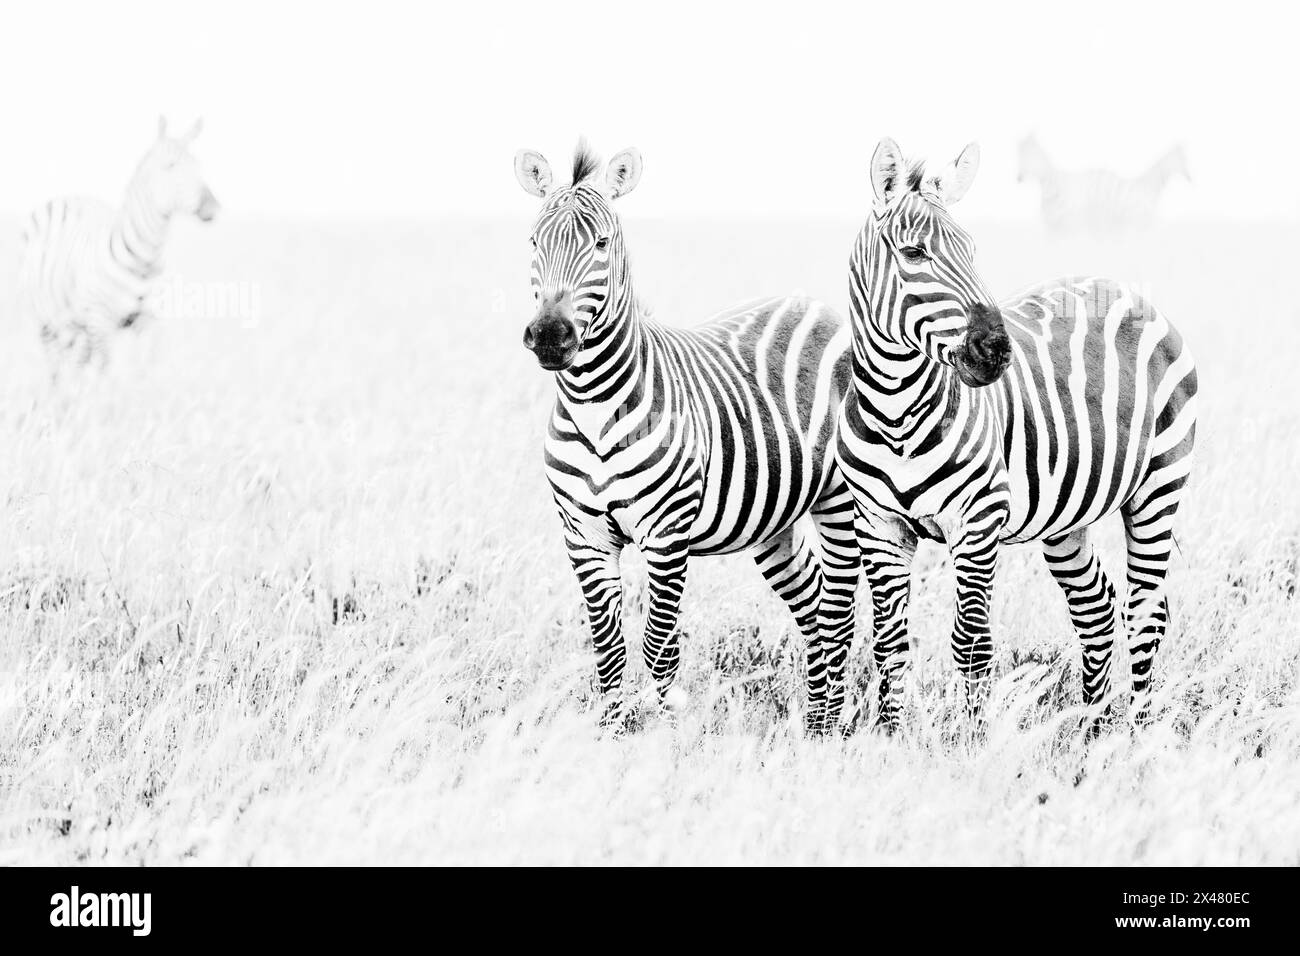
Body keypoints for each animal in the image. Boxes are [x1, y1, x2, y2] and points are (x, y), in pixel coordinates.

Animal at [16, 116, 220, 367]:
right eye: (169, 166)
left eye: (198, 167)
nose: (213, 208)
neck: (143, 258)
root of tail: (61, 198)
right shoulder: (99, 321)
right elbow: (106, 370)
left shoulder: (145, 319)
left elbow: (143, 368)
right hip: (44, 317)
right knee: (56, 363)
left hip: (76, 322)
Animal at [514, 141, 859, 732]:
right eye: (535, 242)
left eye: (601, 244)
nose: (552, 337)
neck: (593, 406)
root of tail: (812, 304)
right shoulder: (583, 537)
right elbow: (608, 648)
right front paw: (611, 732)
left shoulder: (667, 534)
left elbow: (658, 645)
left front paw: (666, 729)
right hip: (775, 521)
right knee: (813, 604)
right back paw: (817, 716)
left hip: (837, 502)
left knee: (837, 610)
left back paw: (829, 723)